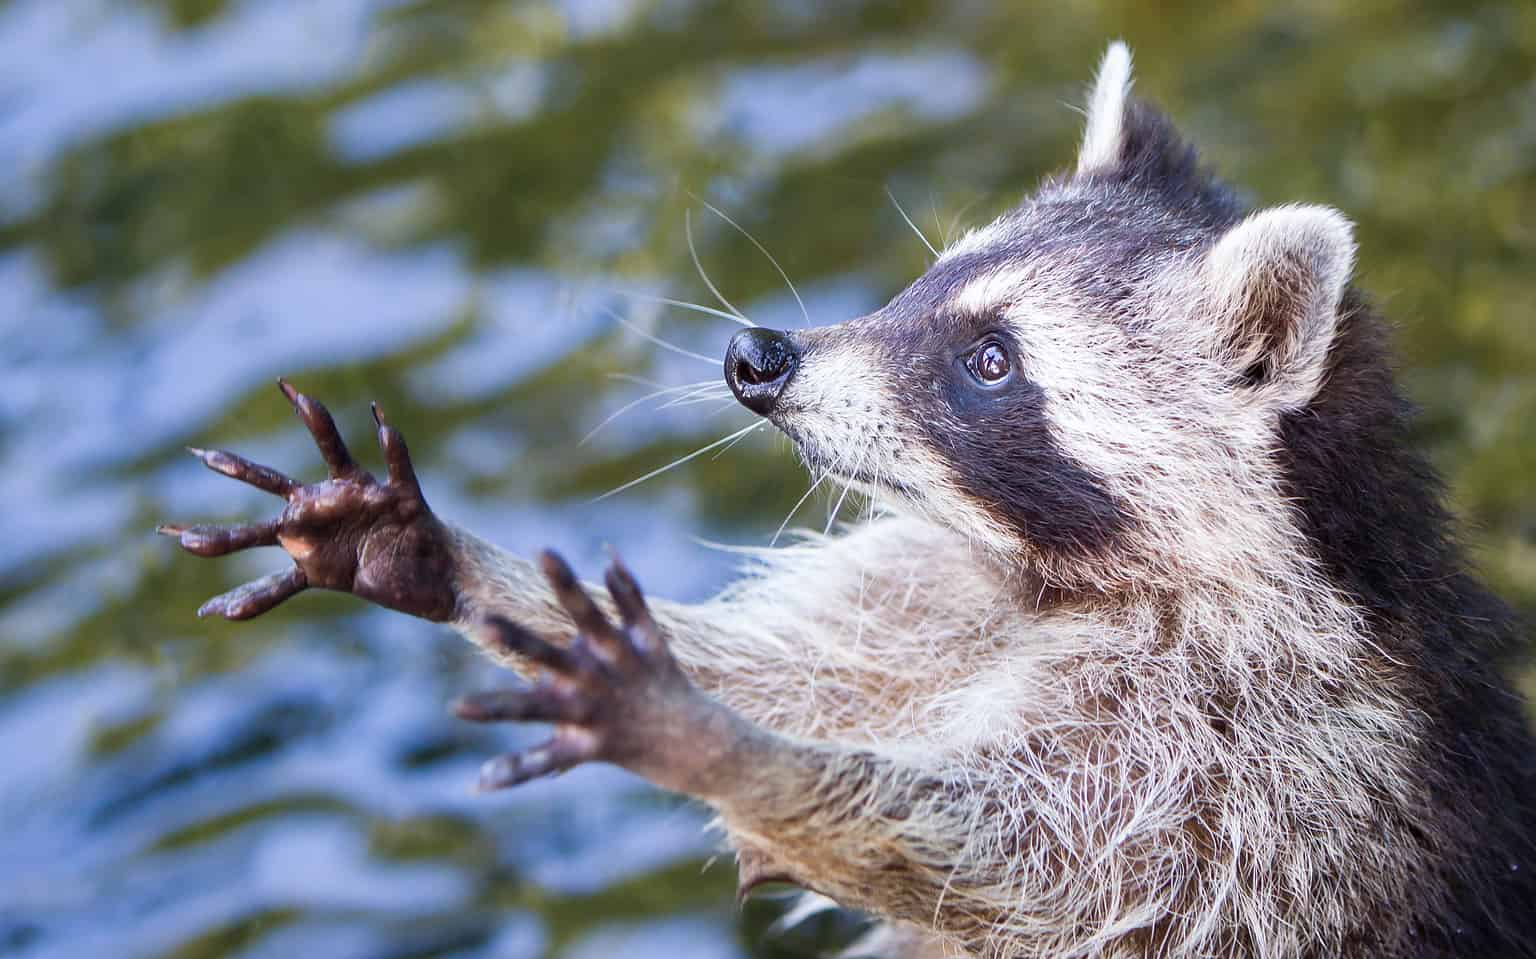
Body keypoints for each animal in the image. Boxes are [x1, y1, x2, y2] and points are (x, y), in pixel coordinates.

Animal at [163, 43, 1536, 958]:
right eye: (929, 279)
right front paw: (442, 556)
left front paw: (713, 741)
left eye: (990, 360)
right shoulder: (946, 590)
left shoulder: (1263, 762)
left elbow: (989, 851)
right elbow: (799, 675)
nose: (757, 358)